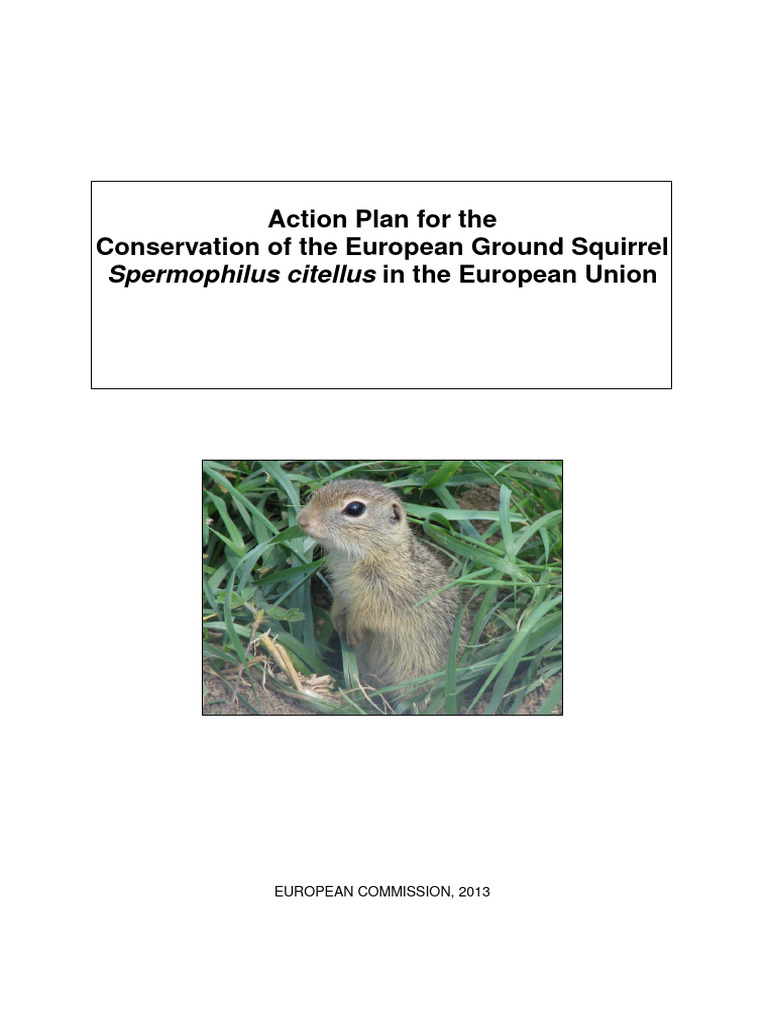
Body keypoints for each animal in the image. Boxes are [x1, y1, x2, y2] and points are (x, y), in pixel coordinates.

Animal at [296, 479, 464, 710]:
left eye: (354, 509)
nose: (301, 520)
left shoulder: (387, 599)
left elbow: (368, 614)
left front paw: (353, 628)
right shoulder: (342, 589)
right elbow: (340, 601)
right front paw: (337, 619)